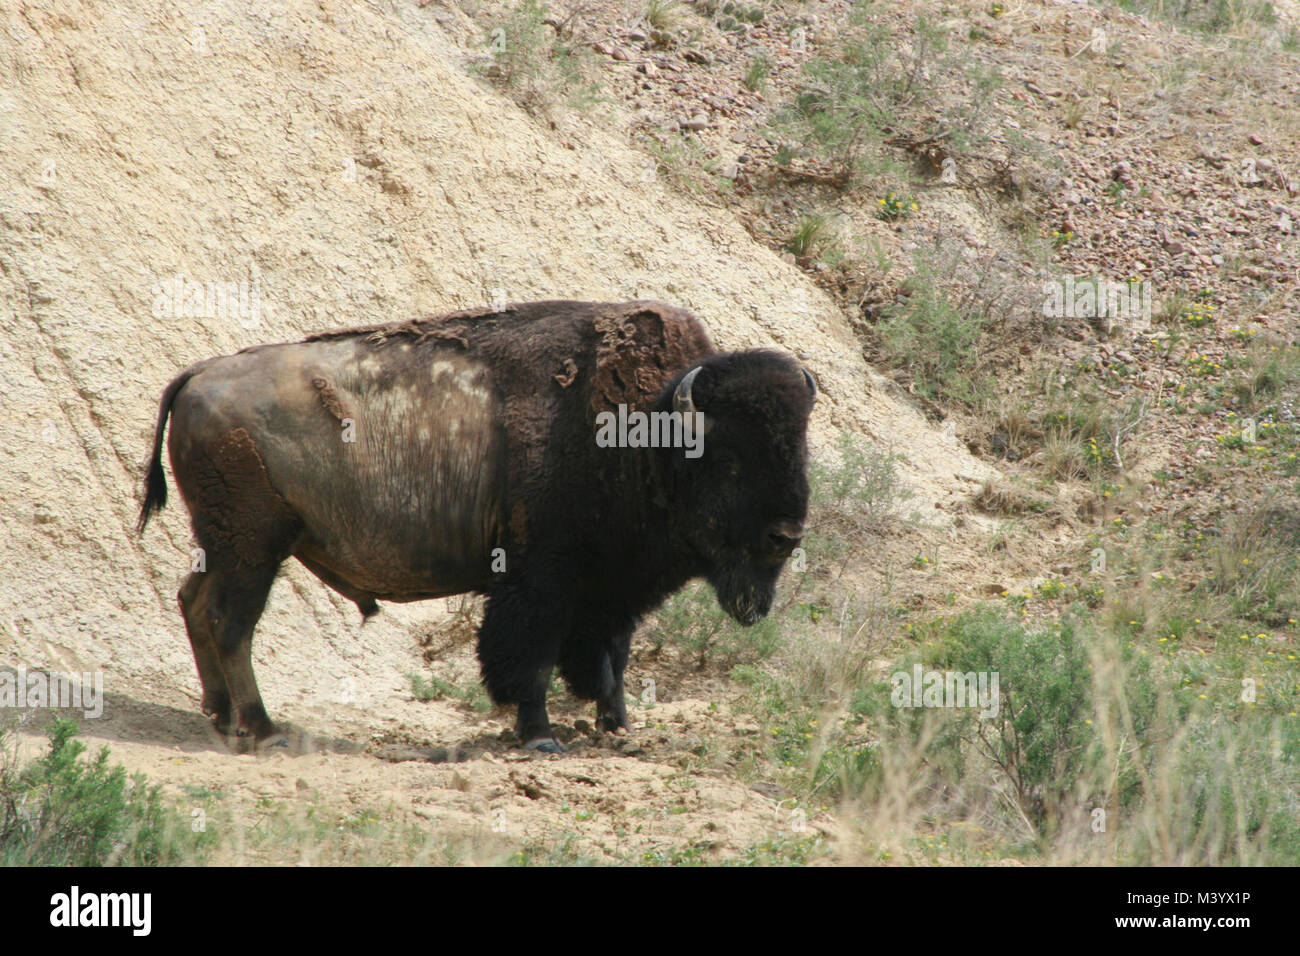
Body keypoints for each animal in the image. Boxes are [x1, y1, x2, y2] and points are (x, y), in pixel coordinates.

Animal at [137, 300, 816, 752]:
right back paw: (261, 728)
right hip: (255, 548)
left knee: (193, 602)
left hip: (221, 544)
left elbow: (613, 656)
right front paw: (540, 737)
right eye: (729, 460)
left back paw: (219, 714)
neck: (645, 432)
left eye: (798, 449)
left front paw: (618, 725)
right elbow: (530, 659)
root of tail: (196, 376)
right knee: (231, 622)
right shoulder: (541, 582)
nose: (787, 535)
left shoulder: (611, 590)